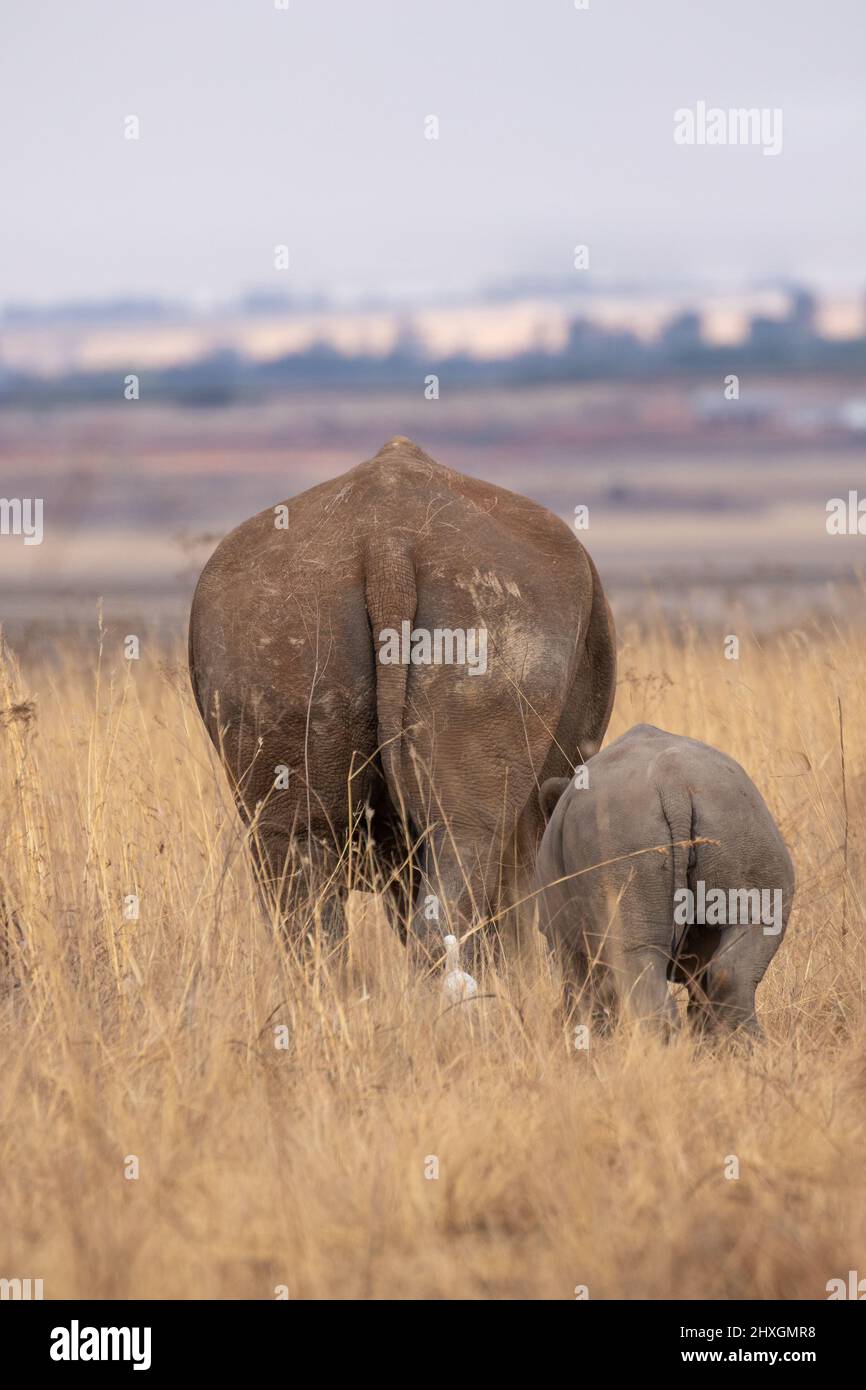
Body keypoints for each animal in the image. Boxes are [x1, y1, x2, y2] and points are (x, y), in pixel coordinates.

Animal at [535, 724, 795, 1036]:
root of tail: (676, 788)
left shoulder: (560, 935)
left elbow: (581, 987)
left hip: (624, 838)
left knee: (636, 959)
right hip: (737, 818)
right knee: (743, 950)